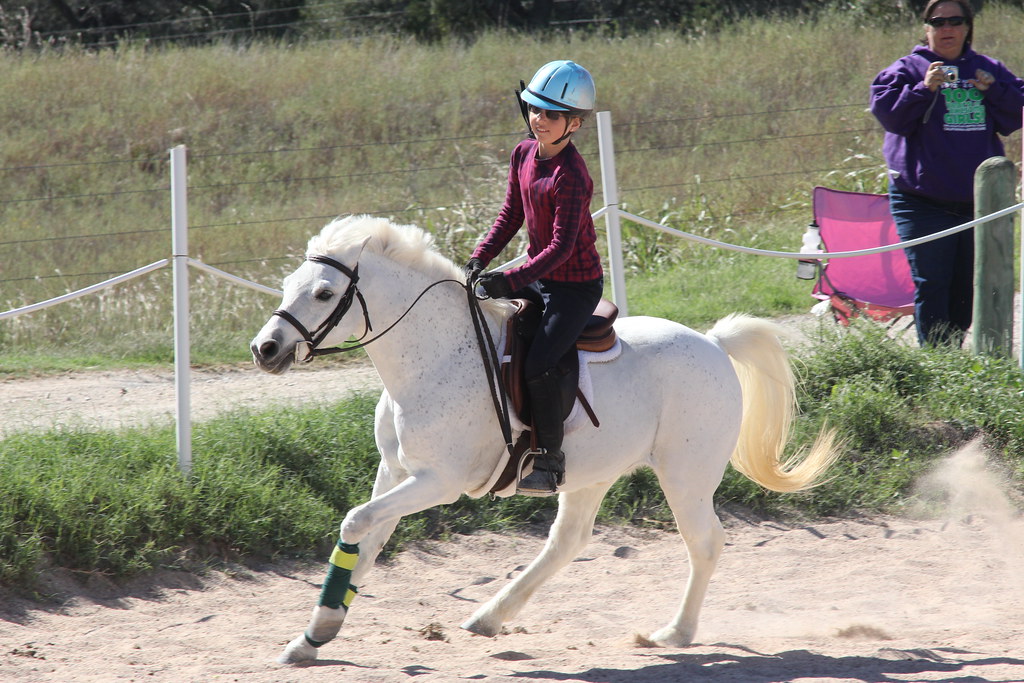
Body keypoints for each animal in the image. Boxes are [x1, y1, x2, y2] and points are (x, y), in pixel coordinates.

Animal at [250, 214, 839, 665]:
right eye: (289, 284)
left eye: (324, 292)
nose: (265, 349)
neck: (431, 359)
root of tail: (714, 343)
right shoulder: (394, 471)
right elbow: (368, 541)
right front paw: (312, 637)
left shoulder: (438, 481)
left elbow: (355, 523)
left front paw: (323, 626)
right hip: (591, 474)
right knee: (568, 542)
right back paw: (490, 616)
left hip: (686, 477)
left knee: (704, 543)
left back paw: (675, 632)